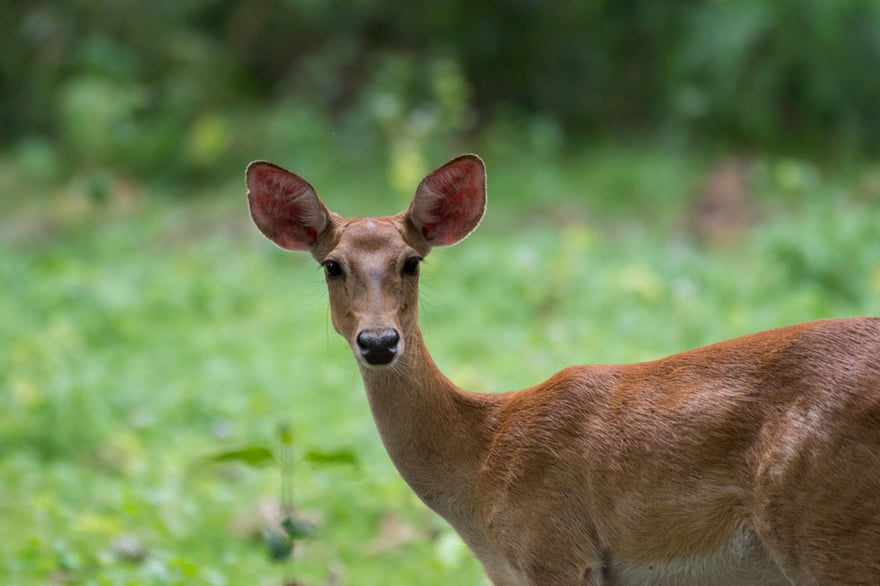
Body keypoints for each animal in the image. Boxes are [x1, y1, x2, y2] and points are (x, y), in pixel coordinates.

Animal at [246, 154, 880, 585]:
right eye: (331, 265)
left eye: (411, 262)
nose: (378, 341)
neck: (480, 464)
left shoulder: (554, 547)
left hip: (827, 522)